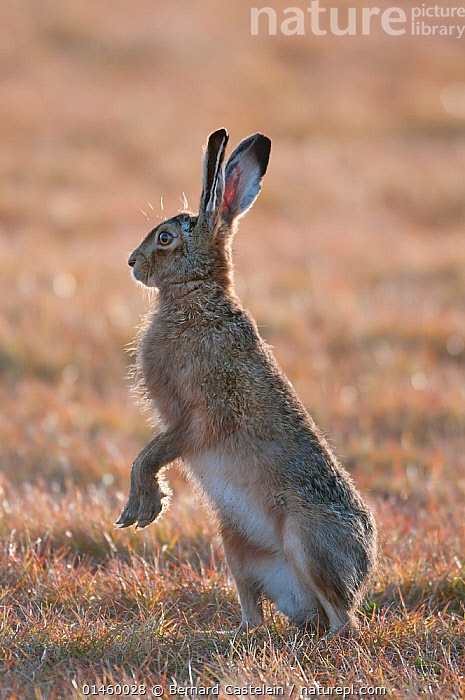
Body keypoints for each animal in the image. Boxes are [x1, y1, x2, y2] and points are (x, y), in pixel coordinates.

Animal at [116, 128, 377, 637]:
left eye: (165, 237)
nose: (132, 263)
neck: (197, 296)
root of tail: (301, 606)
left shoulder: (201, 414)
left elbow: (151, 454)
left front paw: (144, 505)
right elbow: (150, 452)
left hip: (307, 537)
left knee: (344, 620)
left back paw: (324, 638)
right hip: (233, 543)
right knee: (255, 611)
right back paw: (235, 632)